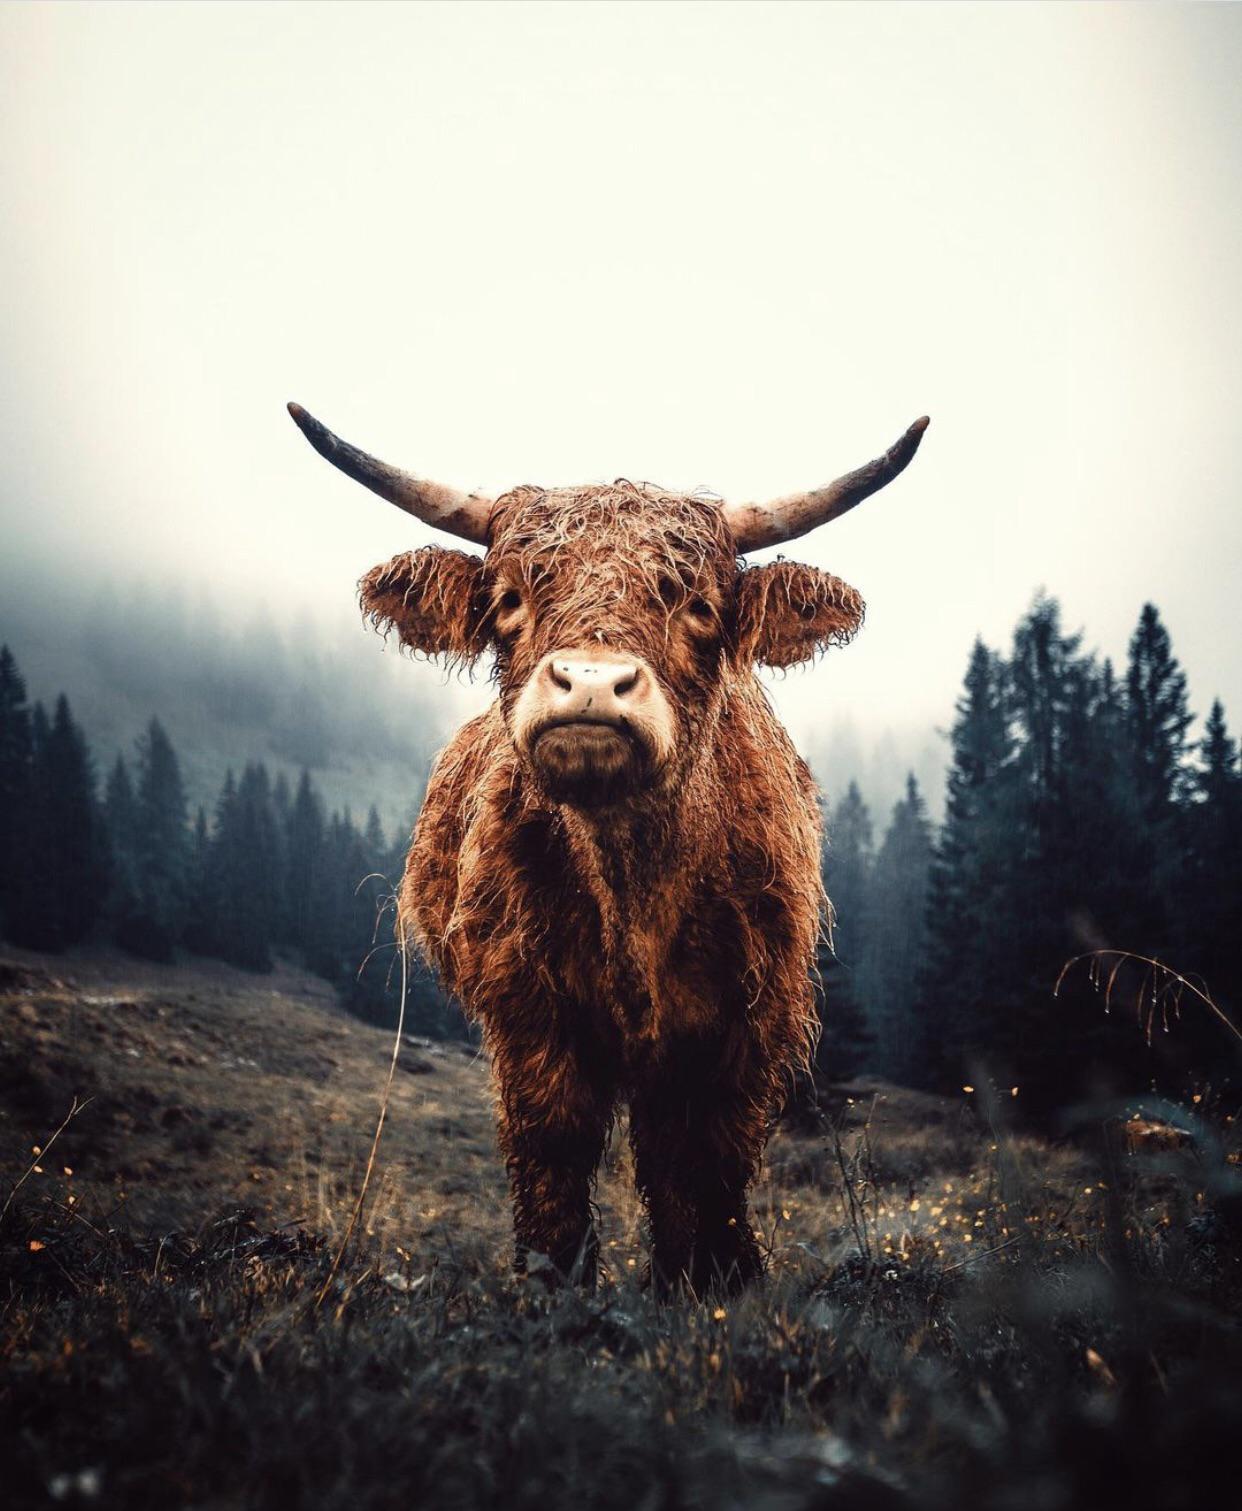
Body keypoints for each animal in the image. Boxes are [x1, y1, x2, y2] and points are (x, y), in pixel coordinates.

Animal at [288, 402, 928, 1293]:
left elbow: (710, 1162)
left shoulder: (749, 1019)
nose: (590, 683)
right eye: (510, 598)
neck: (635, 889)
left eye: (699, 606)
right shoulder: (528, 1011)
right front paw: (555, 1285)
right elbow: (553, 1151)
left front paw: (717, 1284)